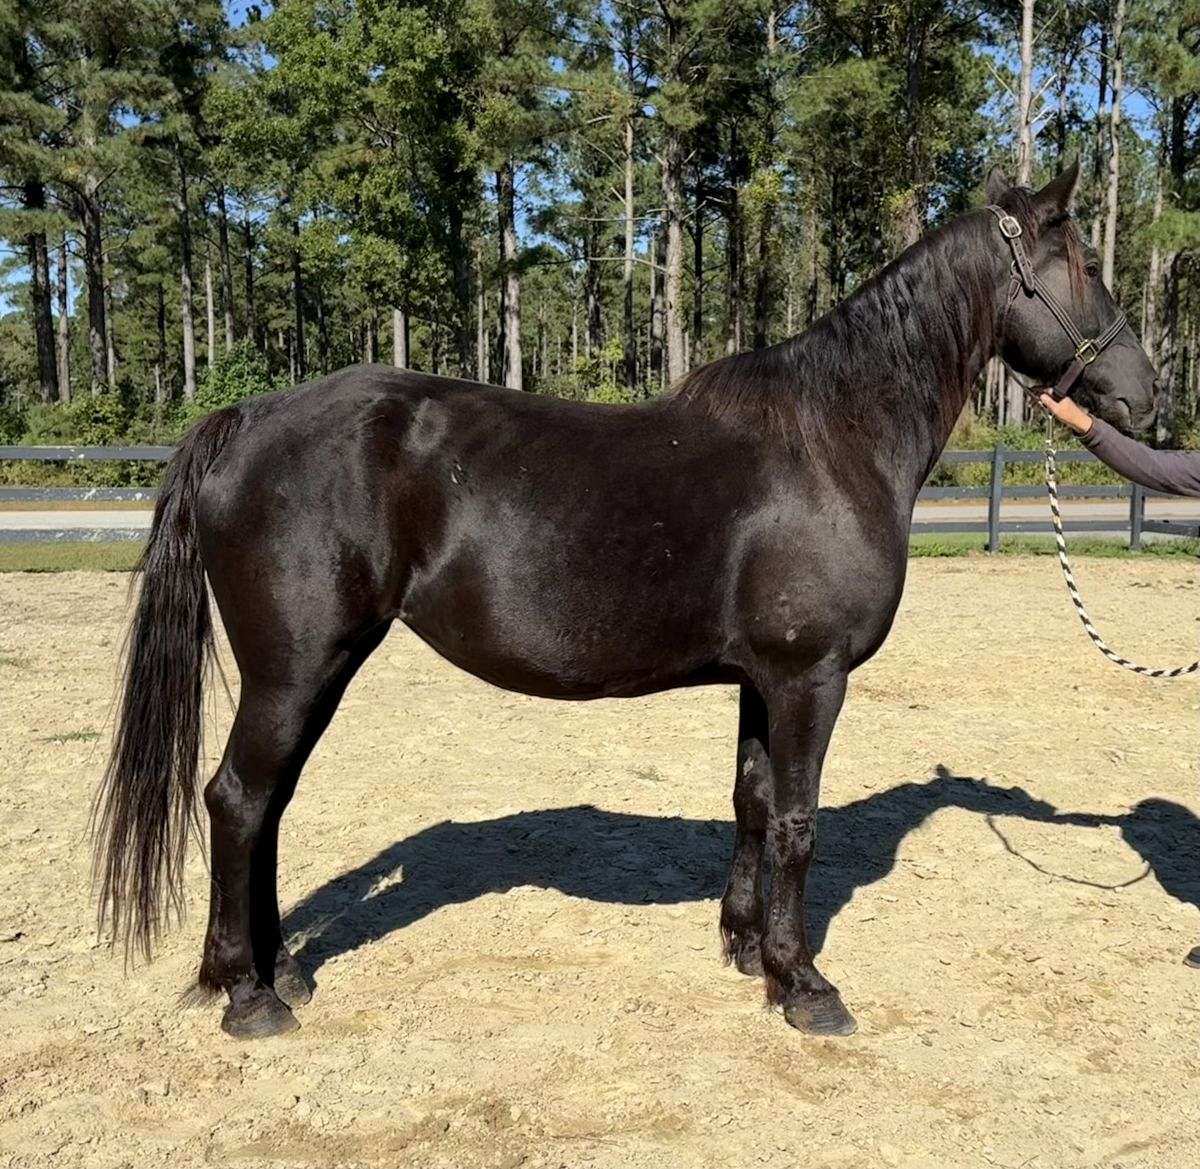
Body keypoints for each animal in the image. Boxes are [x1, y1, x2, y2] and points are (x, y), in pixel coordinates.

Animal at [94, 161, 1157, 1040]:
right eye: (1083, 262)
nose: (1146, 393)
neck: (832, 439)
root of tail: (243, 420)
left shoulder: (762, 679)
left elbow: (752, 802)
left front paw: (745, 950)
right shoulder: (810, 677)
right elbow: (799, 821)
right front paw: (804, 983)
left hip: (321, 666)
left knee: (267, 803)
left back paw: (278, 970)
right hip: (295, 666)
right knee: (238, 799)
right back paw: (247, 993)